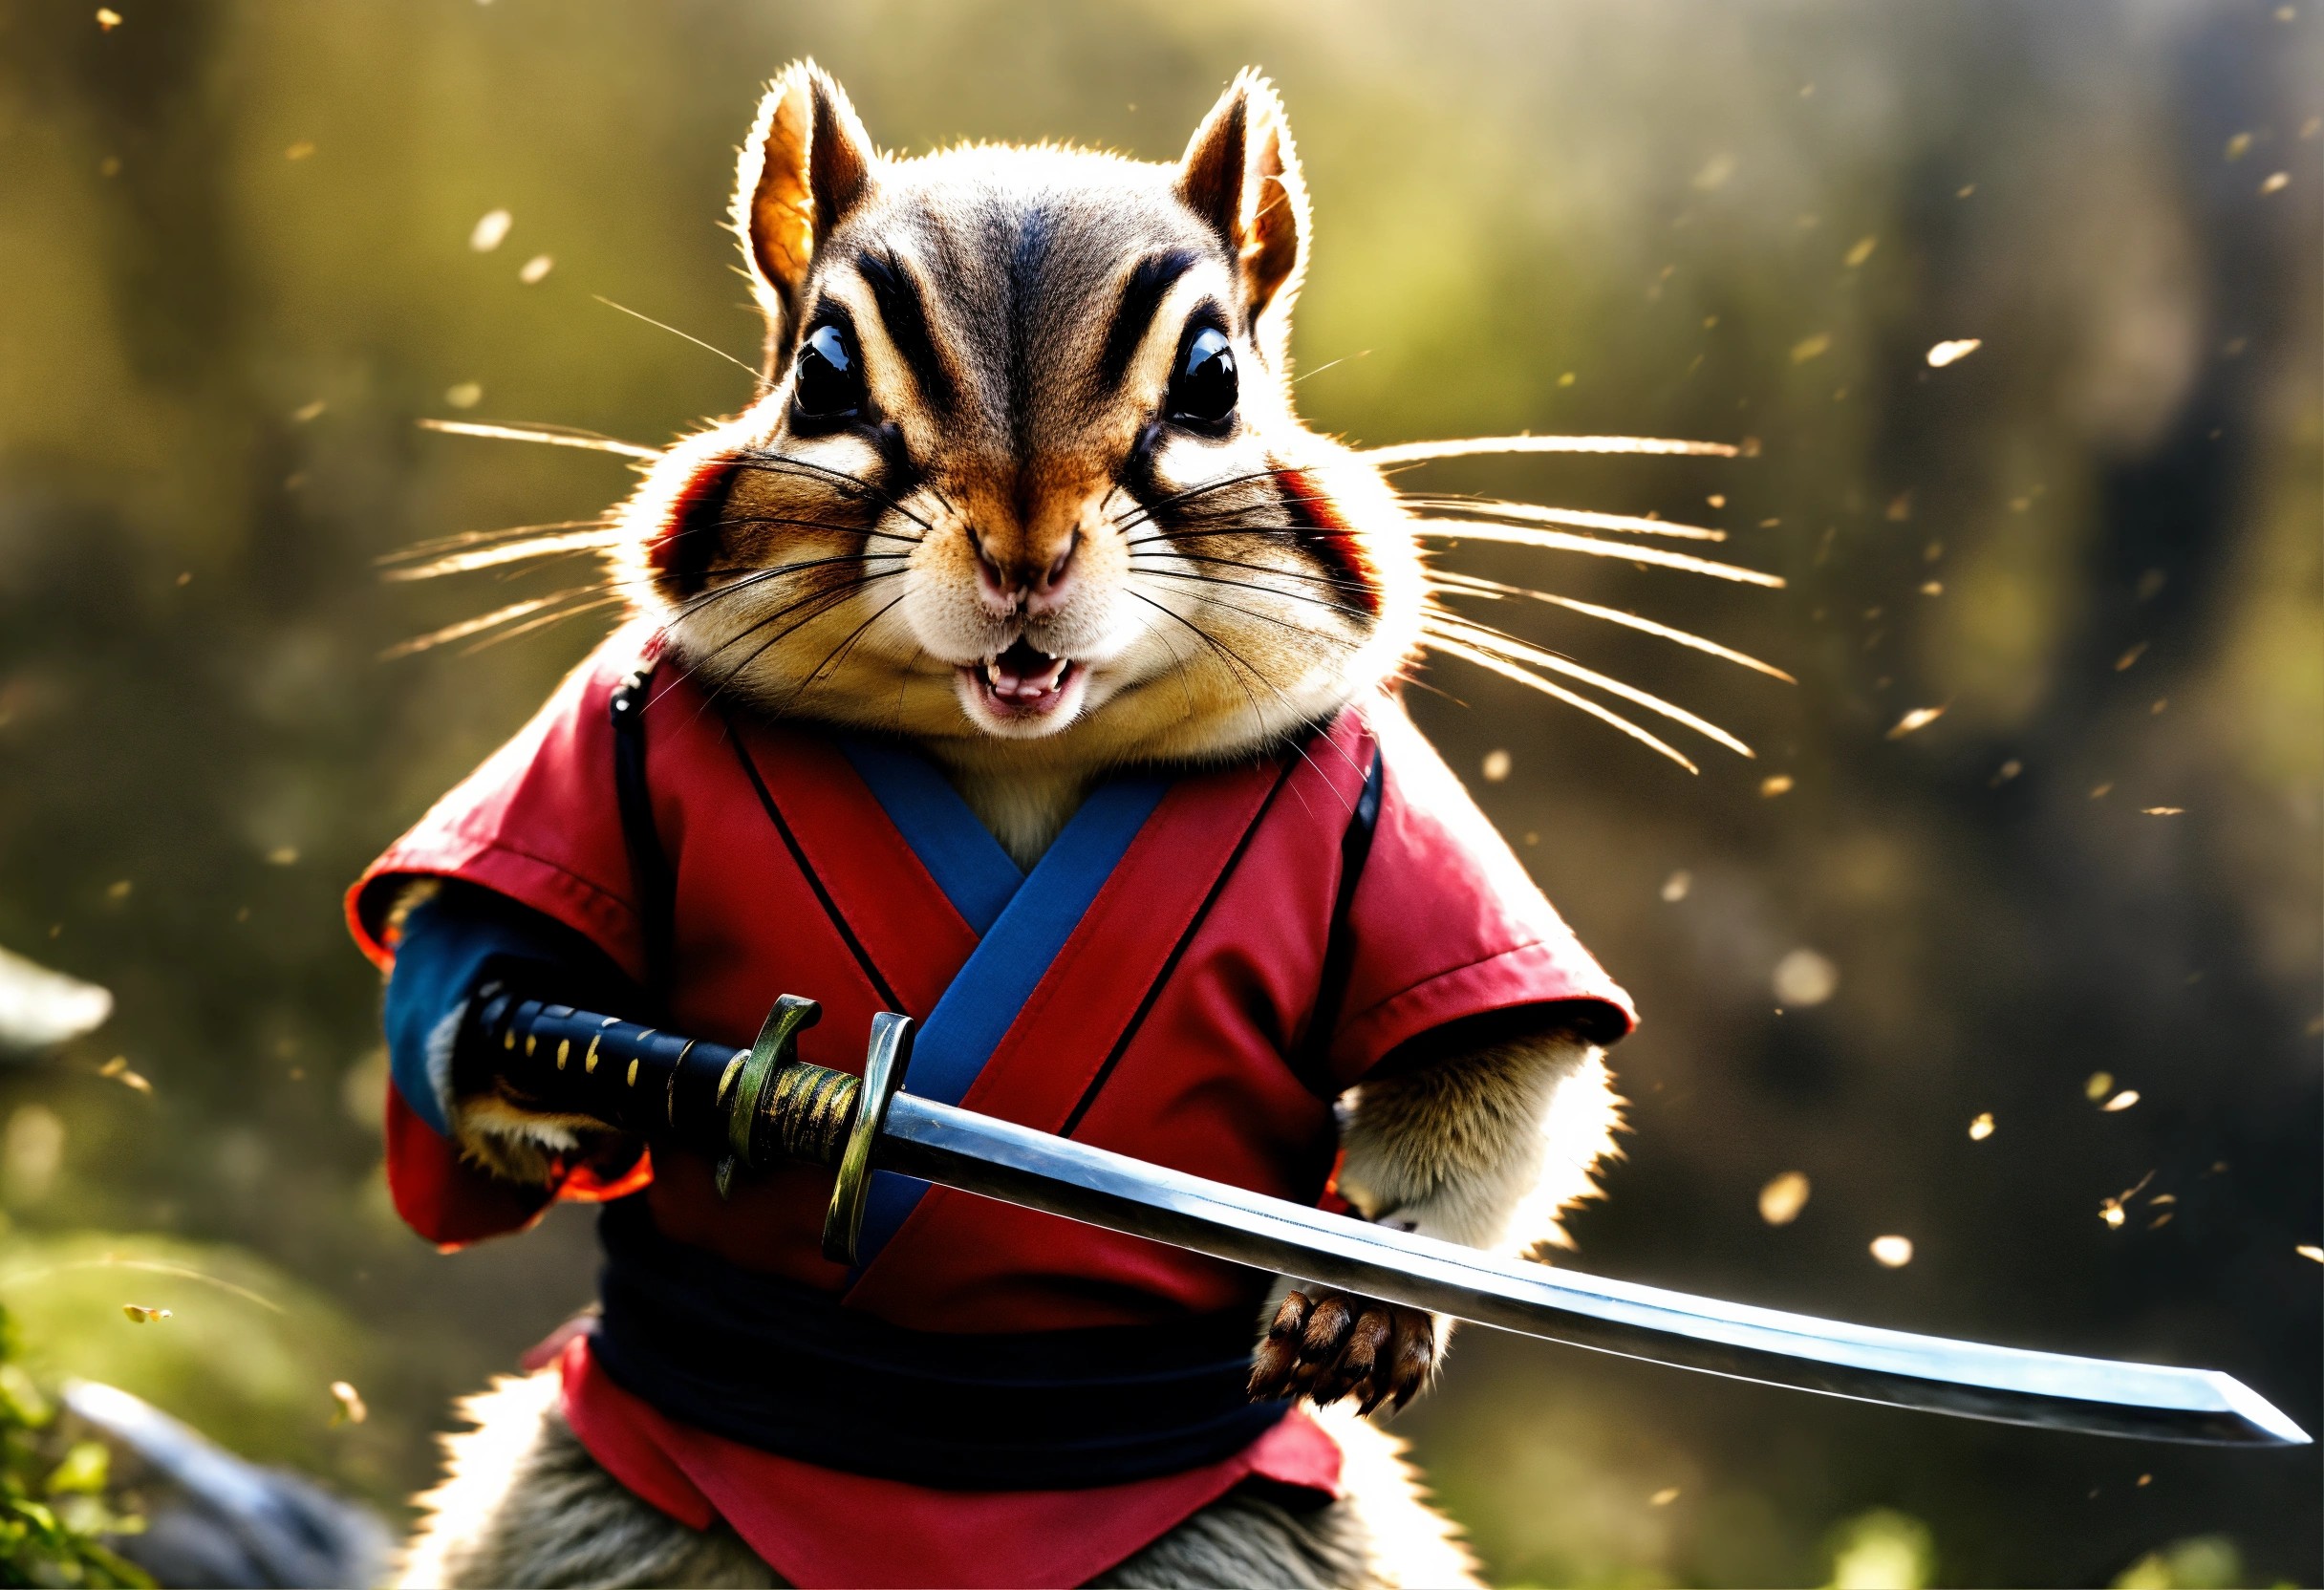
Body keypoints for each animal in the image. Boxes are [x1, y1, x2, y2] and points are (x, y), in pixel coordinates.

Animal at [348, 61, 1772, 1590]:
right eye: (823, 371)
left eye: (1213, 379)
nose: (1023, 559)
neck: (1019, 749)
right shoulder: (598, 742)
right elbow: (471, 929)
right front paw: (514, 1061)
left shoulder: (1393, 812)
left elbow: (1504, 1063)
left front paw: (1367, 1278)